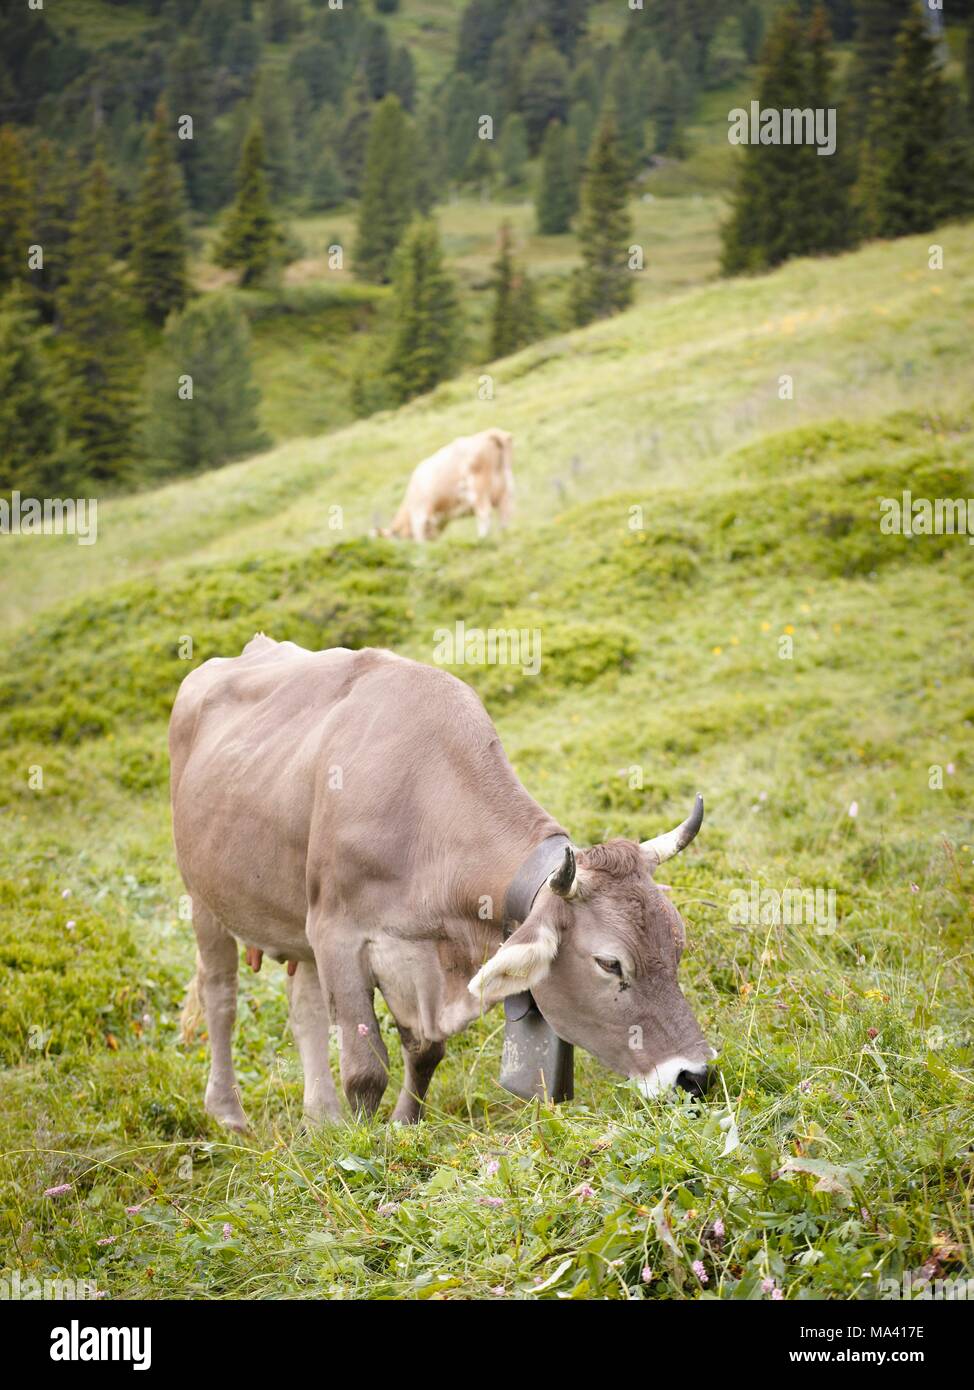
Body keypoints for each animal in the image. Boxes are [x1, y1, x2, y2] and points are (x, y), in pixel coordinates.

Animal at [171, 636, 715, 1130]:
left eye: (678, 945)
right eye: (609, 963)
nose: (695, 1077)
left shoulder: (415, 959)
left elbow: (425, 1051)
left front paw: (401, 1128)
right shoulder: (336, 935)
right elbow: (365, 1069)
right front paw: (361, 1149)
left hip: (292, 920)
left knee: (304, 1012)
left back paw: (322, 1120)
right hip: (203, 900)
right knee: (220, 998)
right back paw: (230, 1115)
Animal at [380, 428, 514, 541]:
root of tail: (489, 433)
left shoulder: (419, 517)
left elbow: (420, 540)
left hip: (478, 489)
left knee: (484, 513)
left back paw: (482, 539)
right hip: (505, 489)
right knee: (505, 514)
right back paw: (503, 535)